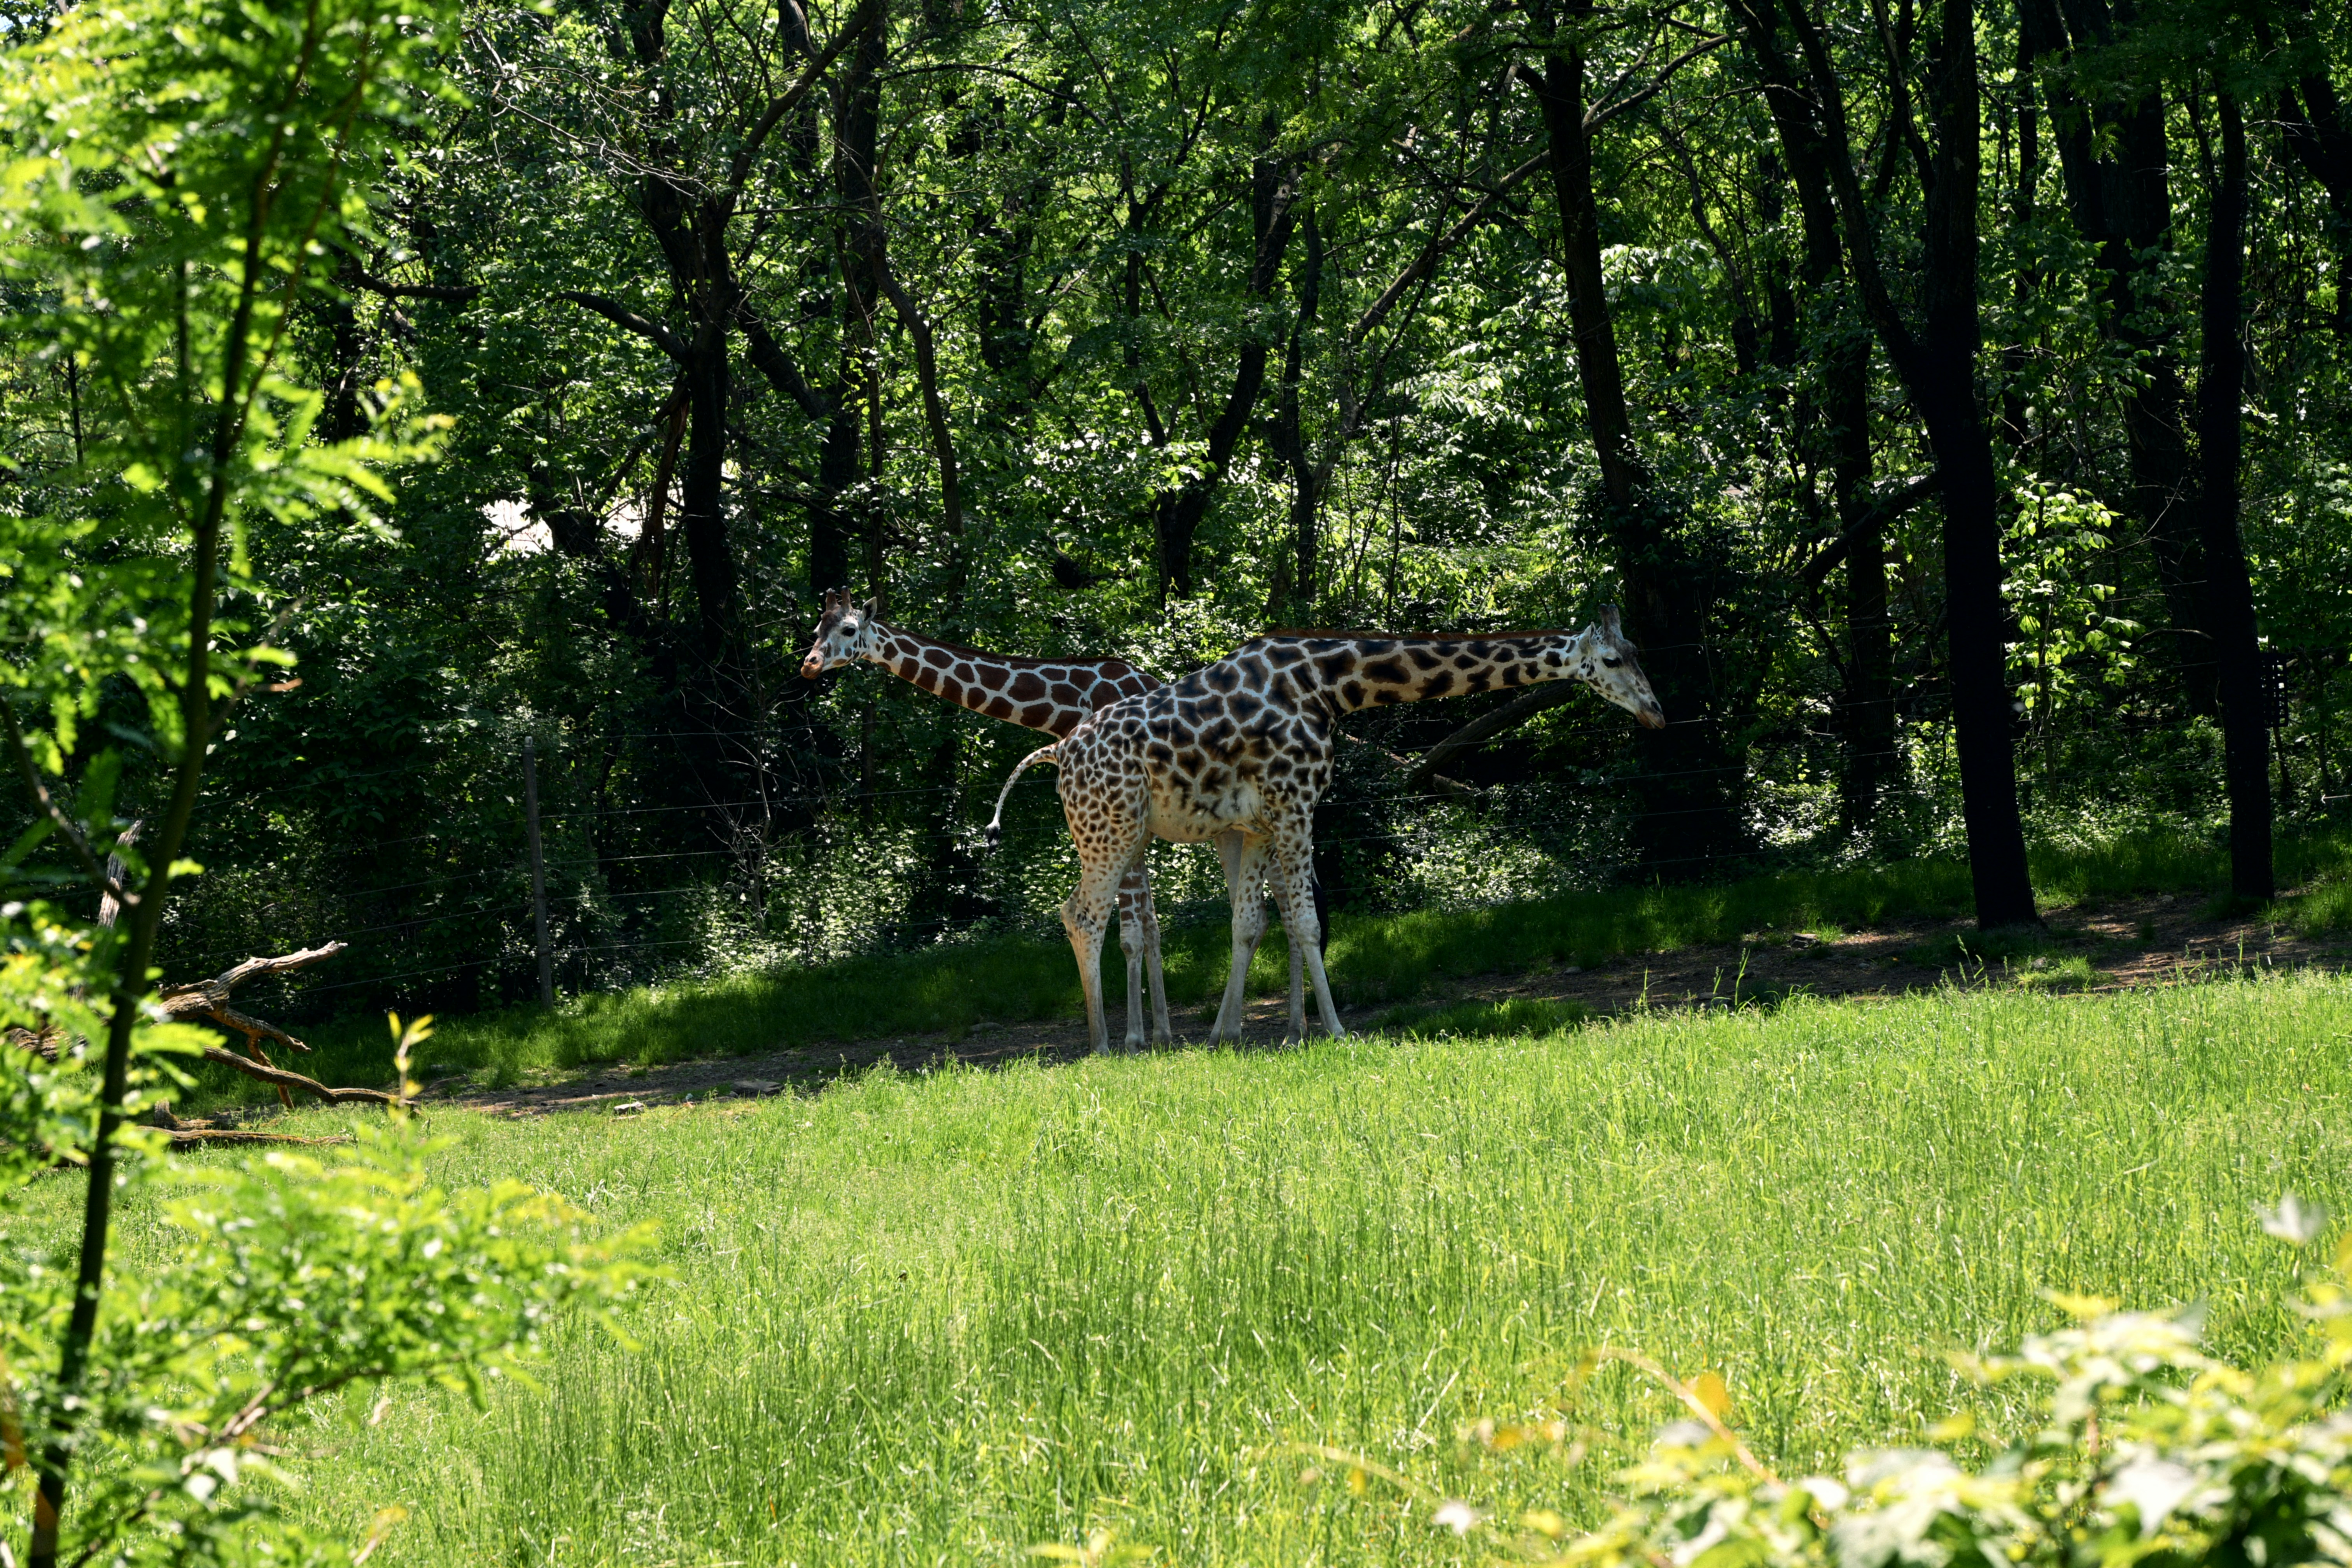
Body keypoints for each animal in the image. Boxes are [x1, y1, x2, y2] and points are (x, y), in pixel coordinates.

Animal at [798, 590, 1273, 1049]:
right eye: (816, 628)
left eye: (849, 629)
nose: (810, 664)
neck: (1066, 702)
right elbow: (1148, 926)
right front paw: (1155, 1036)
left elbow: (1134, 931)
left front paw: (1139, 1038)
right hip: (1231, 830)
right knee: (1253, 912)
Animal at [988, 611, 1667, 1054]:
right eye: (1612, 660)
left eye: (1639, 653)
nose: (1656, 713)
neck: (1333, 685)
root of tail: (1058, 753)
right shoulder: (1296, 803)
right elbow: (1310, 924)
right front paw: (1336, 1033)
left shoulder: (1259, 821)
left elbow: (1250, 923)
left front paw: (1227, 1036)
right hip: (1110, 829)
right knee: (1084, 914)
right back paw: (1104, 1044)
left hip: (1121, 834)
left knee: (1083, 913)